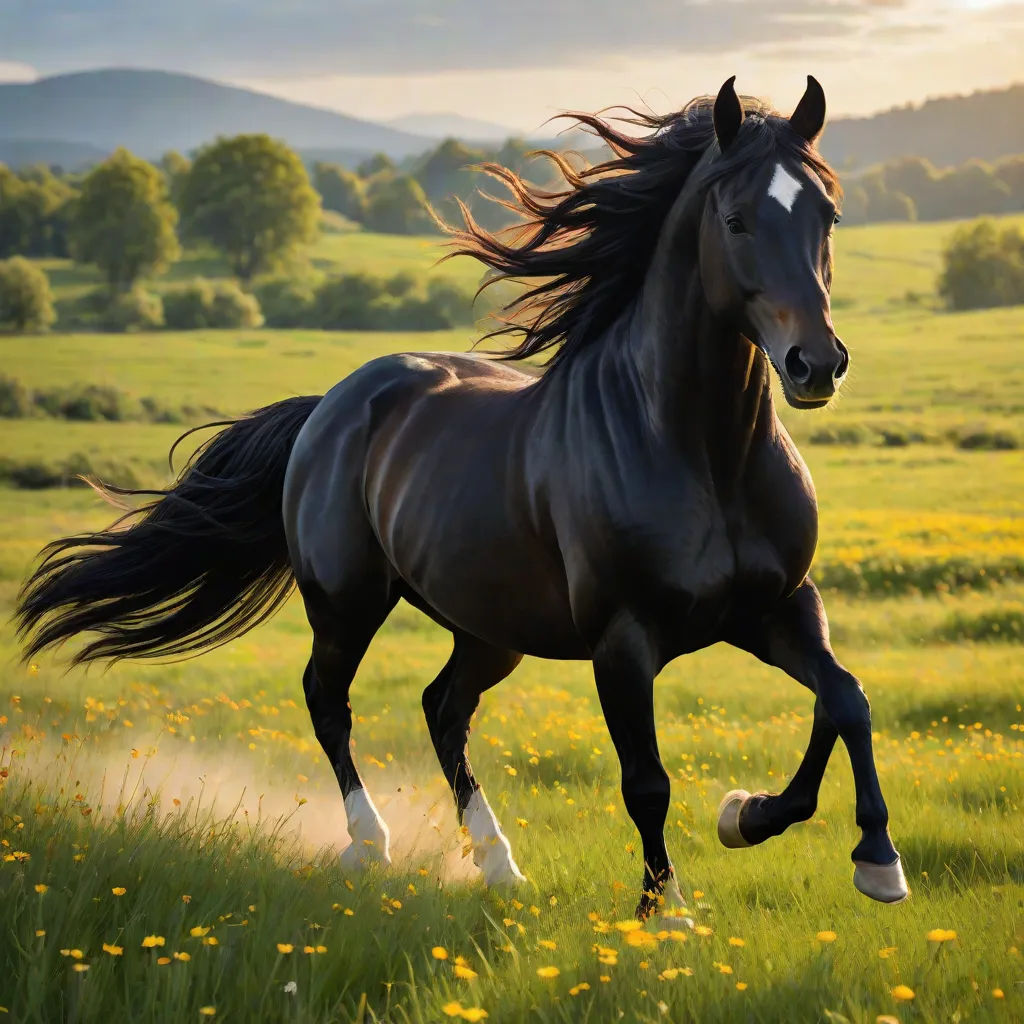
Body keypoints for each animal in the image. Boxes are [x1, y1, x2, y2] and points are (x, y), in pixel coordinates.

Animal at [17, 76, 908, 918]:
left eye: (827, 214)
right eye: (735, 219)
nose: (816, 364)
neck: (702, 455)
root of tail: (330, 406)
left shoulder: (779, 606)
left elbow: (845, 701)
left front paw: (815, 839)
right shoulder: (624, 641)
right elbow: (647, 781)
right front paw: (667, 914)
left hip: (490, 626)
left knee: (442, 707)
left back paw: (499, 864)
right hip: (347, 602)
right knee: (329, 701)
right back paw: (371, 845)